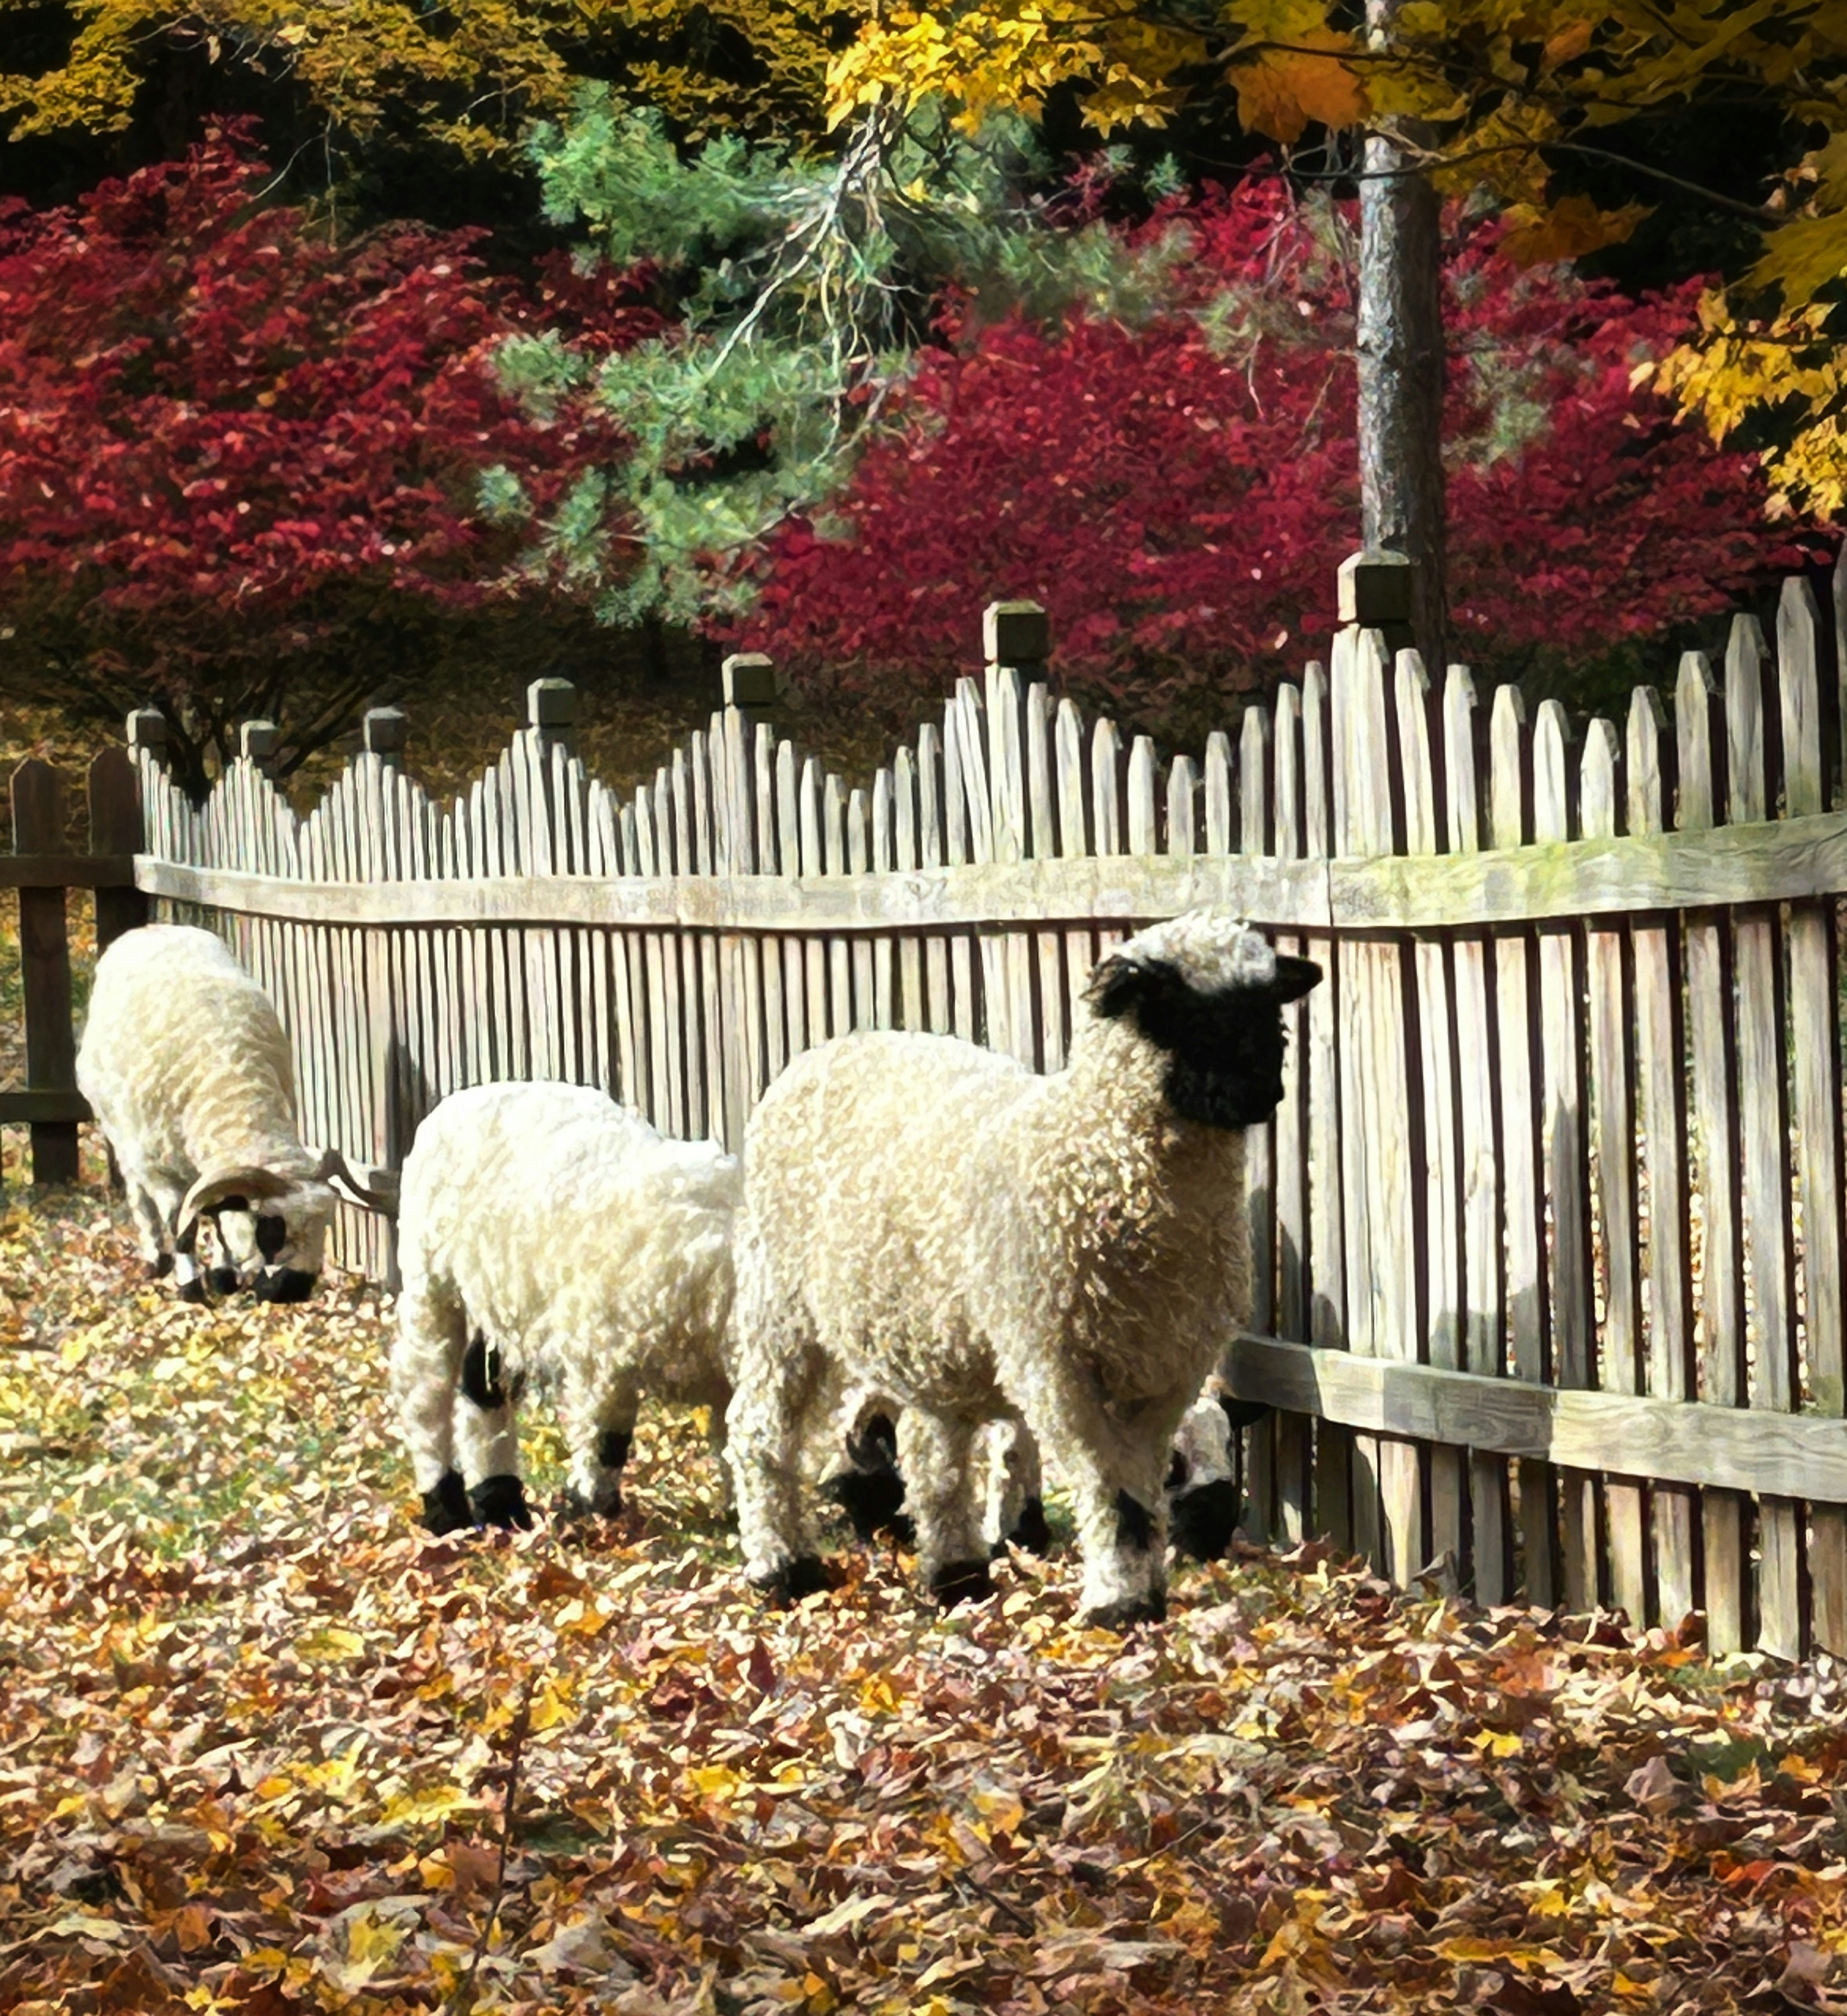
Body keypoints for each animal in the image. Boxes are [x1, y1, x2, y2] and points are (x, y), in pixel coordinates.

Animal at [77, 923, 374, 1303]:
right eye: (272, 1228)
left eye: (326, 1224)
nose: (294, 1290)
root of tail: (152, 928)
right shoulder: (159, 1169)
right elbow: (181, 1227)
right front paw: (190, 1286)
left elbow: (220, 1215)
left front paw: (222, 1275)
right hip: (122, 1134)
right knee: (136, 1190)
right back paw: (154, 1257)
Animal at [390, 1081, 741, 1535]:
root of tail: (460, 1100)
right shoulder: (603, 1350)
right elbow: (606, 1438)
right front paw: (590, 1506)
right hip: (432, 1275)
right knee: (425, 1389)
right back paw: (445, 1508)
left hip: (499, 1291)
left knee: (481, 1388)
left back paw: (500, 1504)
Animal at [726, 911, 1320, 1628]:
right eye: (1174, 1011)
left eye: (1269, 1008)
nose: (1263, 1091)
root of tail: (827, 1049)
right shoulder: (1059, 1364)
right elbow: (1112, 1492)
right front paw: (1118, 1603)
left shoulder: (1165, 1368)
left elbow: (1134, 1488)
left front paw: (1141, 1595)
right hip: (779, 1301)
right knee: (760, 1428)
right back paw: (784, 1568)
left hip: (927, 1328)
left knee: (932, 1449)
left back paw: (953, 1572)